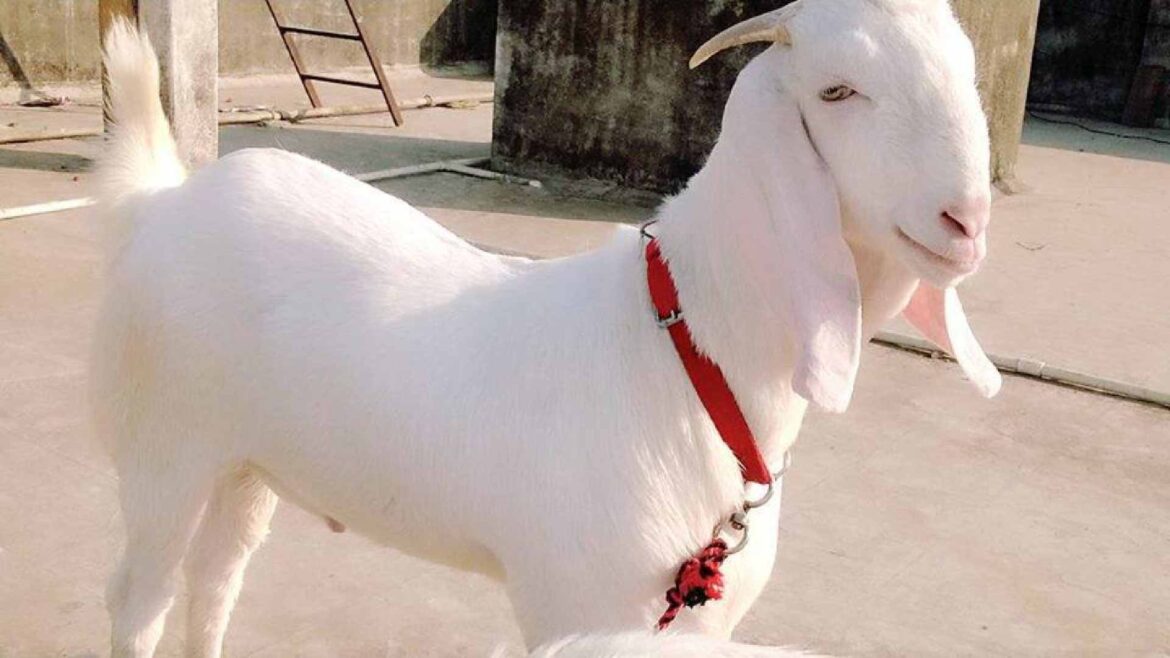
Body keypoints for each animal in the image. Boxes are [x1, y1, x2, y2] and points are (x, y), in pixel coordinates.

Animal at [93, 0, 1000, 655]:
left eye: (968, 75)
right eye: (837, 92)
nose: (966, 220)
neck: (688, 358)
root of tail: (164, 200)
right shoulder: (581, 601)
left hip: (250, 462)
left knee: (215, 582)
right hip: (164, 440)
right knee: (143, 595)